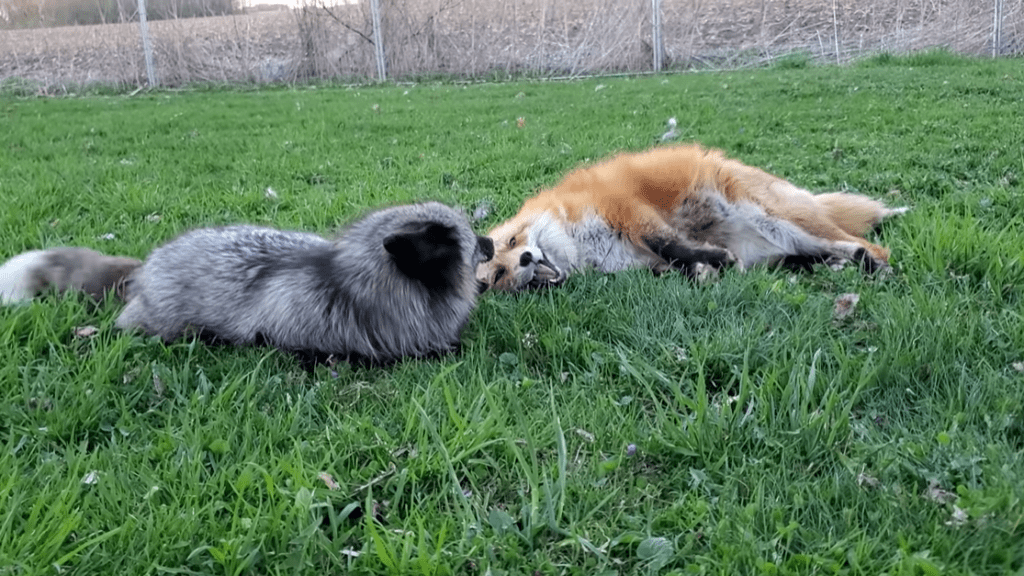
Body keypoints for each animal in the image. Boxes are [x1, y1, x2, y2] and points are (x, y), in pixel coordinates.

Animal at [477, 143, 908, 291]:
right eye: (496, 277)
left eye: (513, 242)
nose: (526, 260)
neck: (580, 247)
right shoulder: (638, 263)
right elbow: (674, 264)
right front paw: (705, 271)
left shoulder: (629, 213)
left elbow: (672, 243)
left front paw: (715, 260)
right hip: (780, 248)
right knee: (811, 255)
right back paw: (835, 265)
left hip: (779, 221)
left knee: (868, 245)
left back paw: (874, 265)